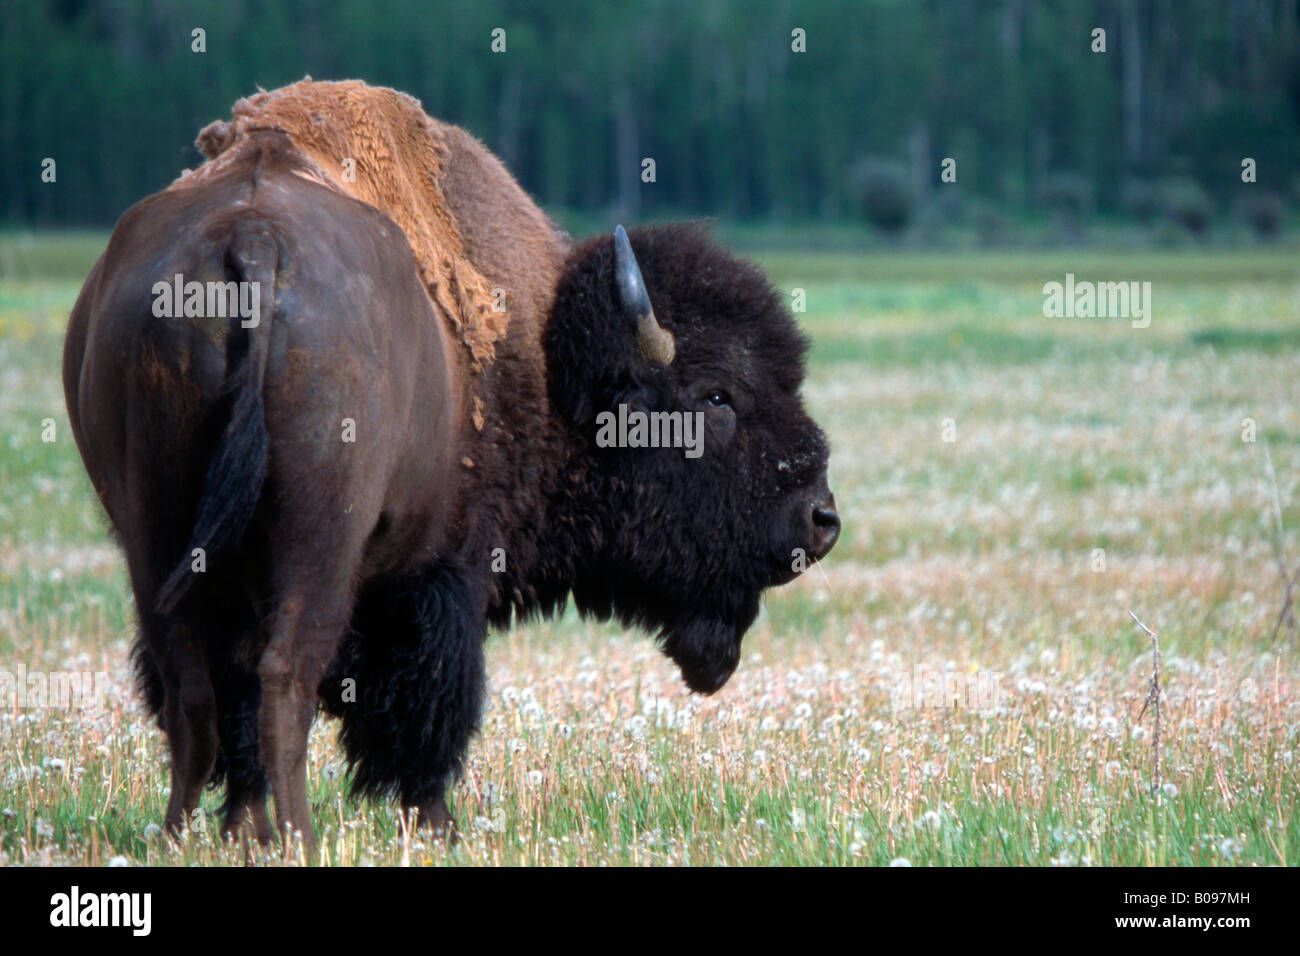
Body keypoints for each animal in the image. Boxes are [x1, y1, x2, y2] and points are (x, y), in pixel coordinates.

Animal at [63, 80, 839, 848]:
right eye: (717, 395)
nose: (821, 518)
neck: (554, 368)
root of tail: (252, 240)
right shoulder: (449, 572)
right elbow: (433, 702)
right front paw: (438, 823)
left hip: (157, 539)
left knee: (193, 685)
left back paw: (193, 832)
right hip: (318, 541)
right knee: (282, 673)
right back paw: (299, 836)